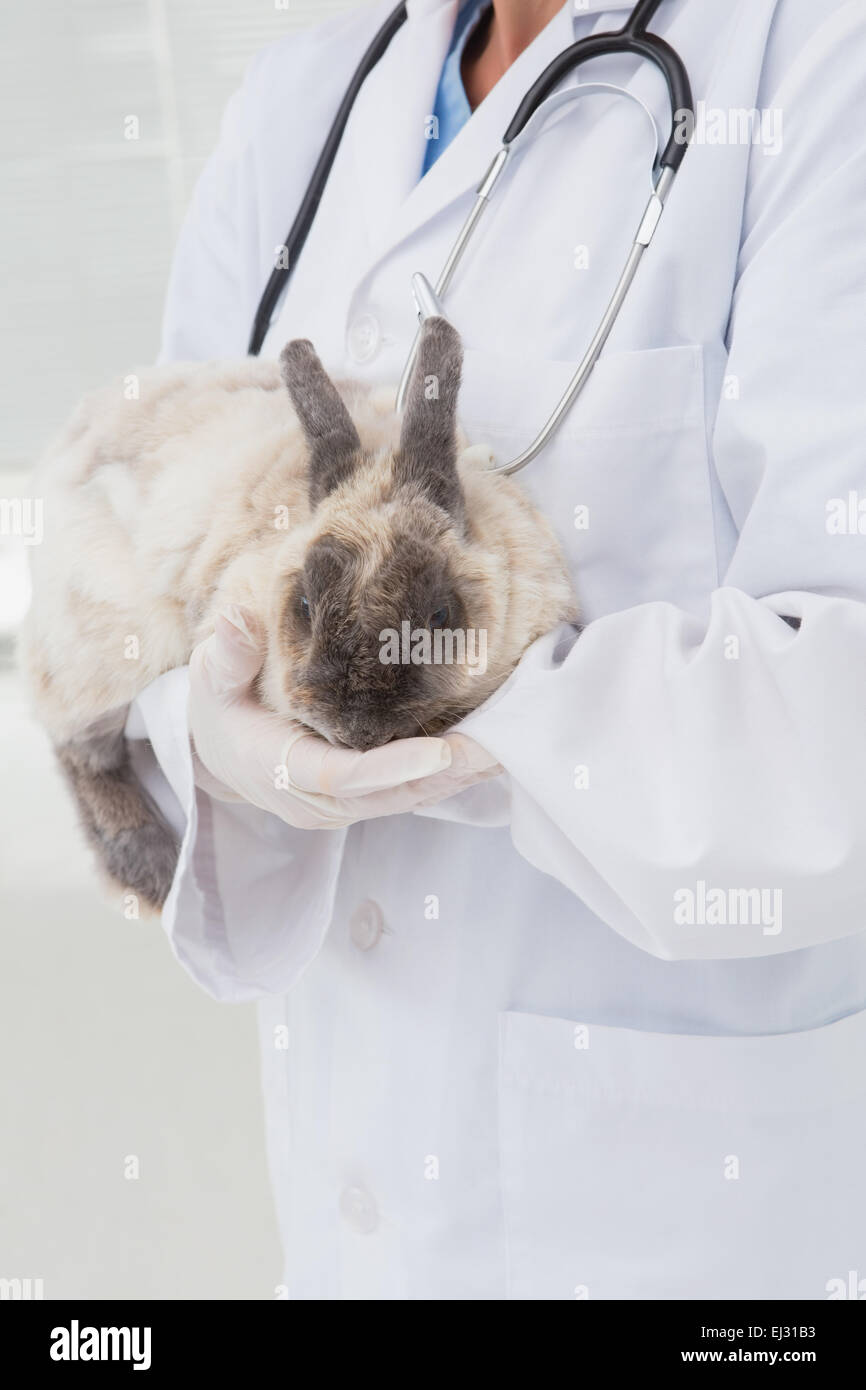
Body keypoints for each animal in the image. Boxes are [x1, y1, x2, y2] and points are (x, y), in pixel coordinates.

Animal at [20, 317, 578, 912]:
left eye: (440, 614)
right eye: (306, 606)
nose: (357, 731)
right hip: (102, 651)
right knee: (81, 749)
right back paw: (151, 868)